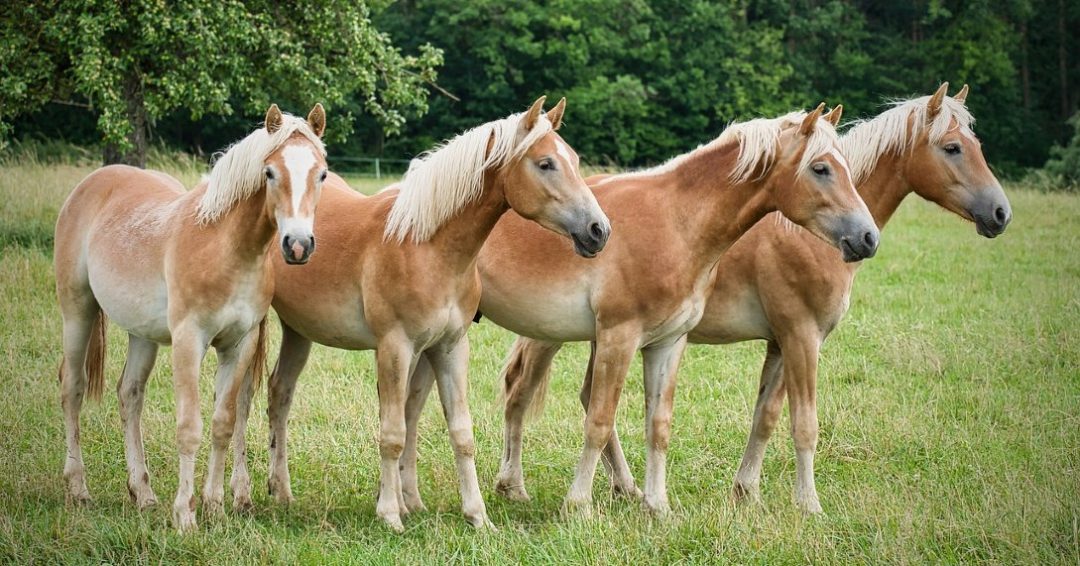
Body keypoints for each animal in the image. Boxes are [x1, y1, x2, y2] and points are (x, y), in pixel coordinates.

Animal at [54, 104, 328, 531]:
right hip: (77, 311)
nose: (297, 245)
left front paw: (215, 506)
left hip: (142, 334)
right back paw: (79, 489)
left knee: (129, 394)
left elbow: (222, 423)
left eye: (322, 174)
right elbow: (189, 428)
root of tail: (93, 183)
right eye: (269, 172)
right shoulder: (188, 341)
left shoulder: (240, 344)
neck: (226, 248)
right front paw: (185, 514)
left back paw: (143, 494)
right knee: (73, 388)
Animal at [231, 97, 610, 531]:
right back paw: (240, 495)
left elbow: (461, 433)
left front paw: (478, 517)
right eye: (546, 163)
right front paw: (390, 514)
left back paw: (282, 491)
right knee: (241, 400)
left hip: (299, 331)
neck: (426, 246)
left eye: (574, 160)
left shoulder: (449, 348)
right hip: (252, 331)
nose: (598, 230)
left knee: (280, 395)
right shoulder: (394, 348)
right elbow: (393, 432)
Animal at [398, 103, 880, 518]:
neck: (677, 223)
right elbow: (599, 419)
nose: (868, 237)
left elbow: (658, 425)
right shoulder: (619, 336)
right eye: (821, 168)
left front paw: (657, 506)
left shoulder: (668, 343)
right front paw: (579, 505)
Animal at [496, 83, 1012, 514]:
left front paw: (746, 492)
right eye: (952, 148)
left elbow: (765, 417)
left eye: (977, 146)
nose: (1000, 213)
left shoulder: (780, 343)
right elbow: (804, 424)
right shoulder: (802, 336)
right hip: (551, 333)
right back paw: (516, 486)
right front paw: (809, 506)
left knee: (584, 399)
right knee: (523, 393)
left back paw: (626, 488)